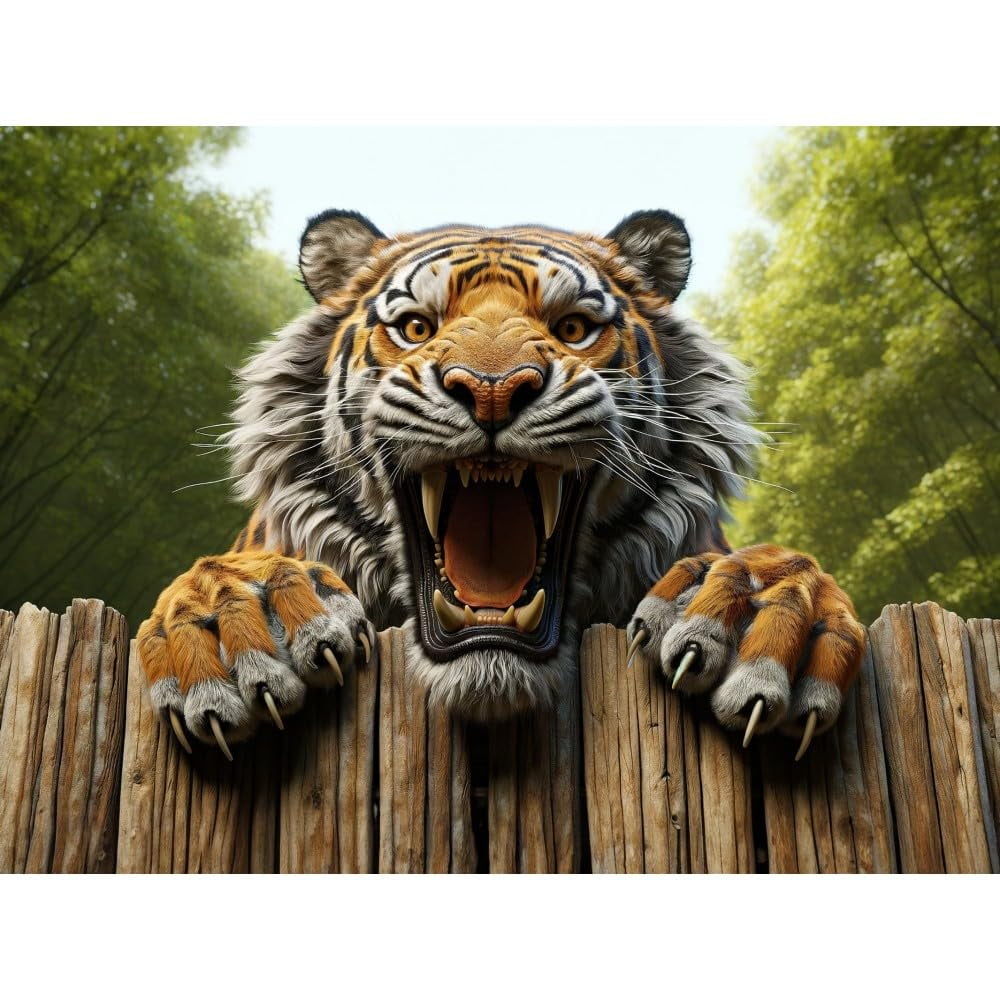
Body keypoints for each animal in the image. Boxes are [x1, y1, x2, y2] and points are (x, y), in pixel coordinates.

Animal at [137, 208, 866, 763]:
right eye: (417, 327)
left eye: (572, 327)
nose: (490, 390)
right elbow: (218, 574)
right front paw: (235, 630)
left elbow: (782, 567)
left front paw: (759, 617)